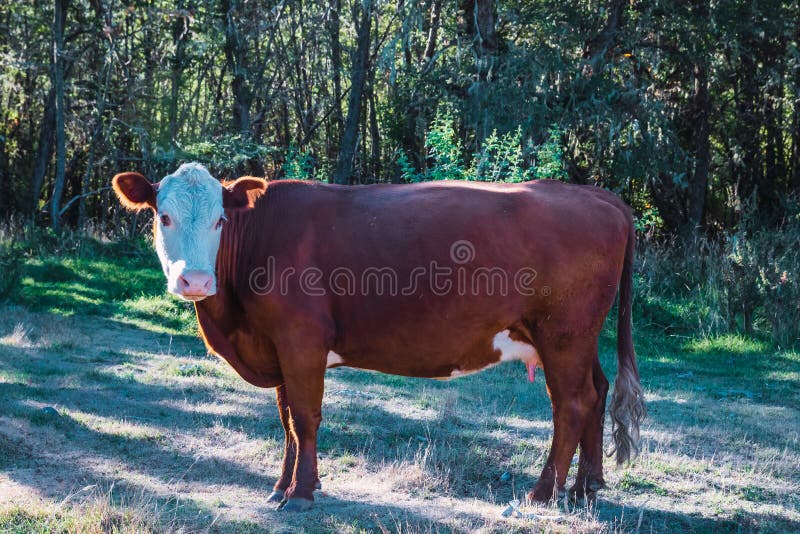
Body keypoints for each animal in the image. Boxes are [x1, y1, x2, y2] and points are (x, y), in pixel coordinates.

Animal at [112, 162, 645, 512]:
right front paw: (281, 487)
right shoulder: (277, 346)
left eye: (219, 220)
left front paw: (301, 494)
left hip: (563, 335)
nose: (195, 281)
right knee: (596, 393)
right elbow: (286, 421)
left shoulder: (300, 339)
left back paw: (541, 494)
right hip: (578, 339)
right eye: (163, 217)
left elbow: (304, 418)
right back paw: (585, 488)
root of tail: (600, 196)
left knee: (571, 405)